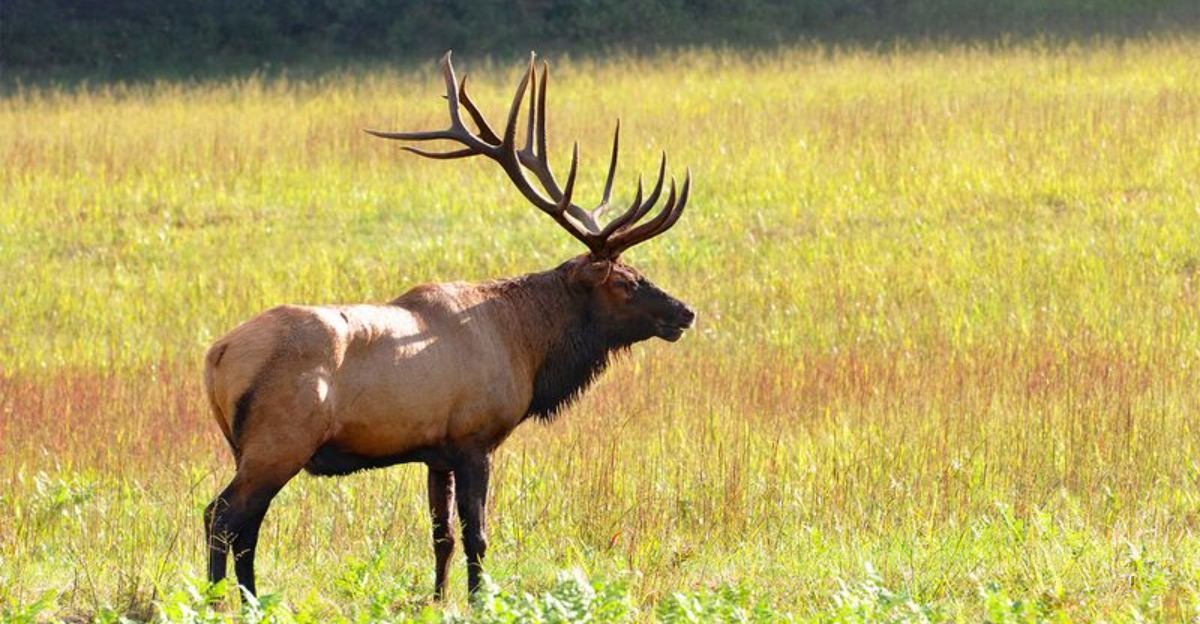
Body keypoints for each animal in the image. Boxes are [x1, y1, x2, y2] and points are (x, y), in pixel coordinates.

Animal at [202, 51, 695, 600]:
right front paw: (480, 600)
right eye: (625, 281)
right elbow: (477, 534)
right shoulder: (474, 439)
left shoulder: (434, 453)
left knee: (246, 527)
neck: (527, 346)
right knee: (221, 516)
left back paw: (249, 601)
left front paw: (437, 601)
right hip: (279, 441)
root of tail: (217, 355)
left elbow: (442, 536)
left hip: (248, 448)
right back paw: (217, 602)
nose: (684, 312)